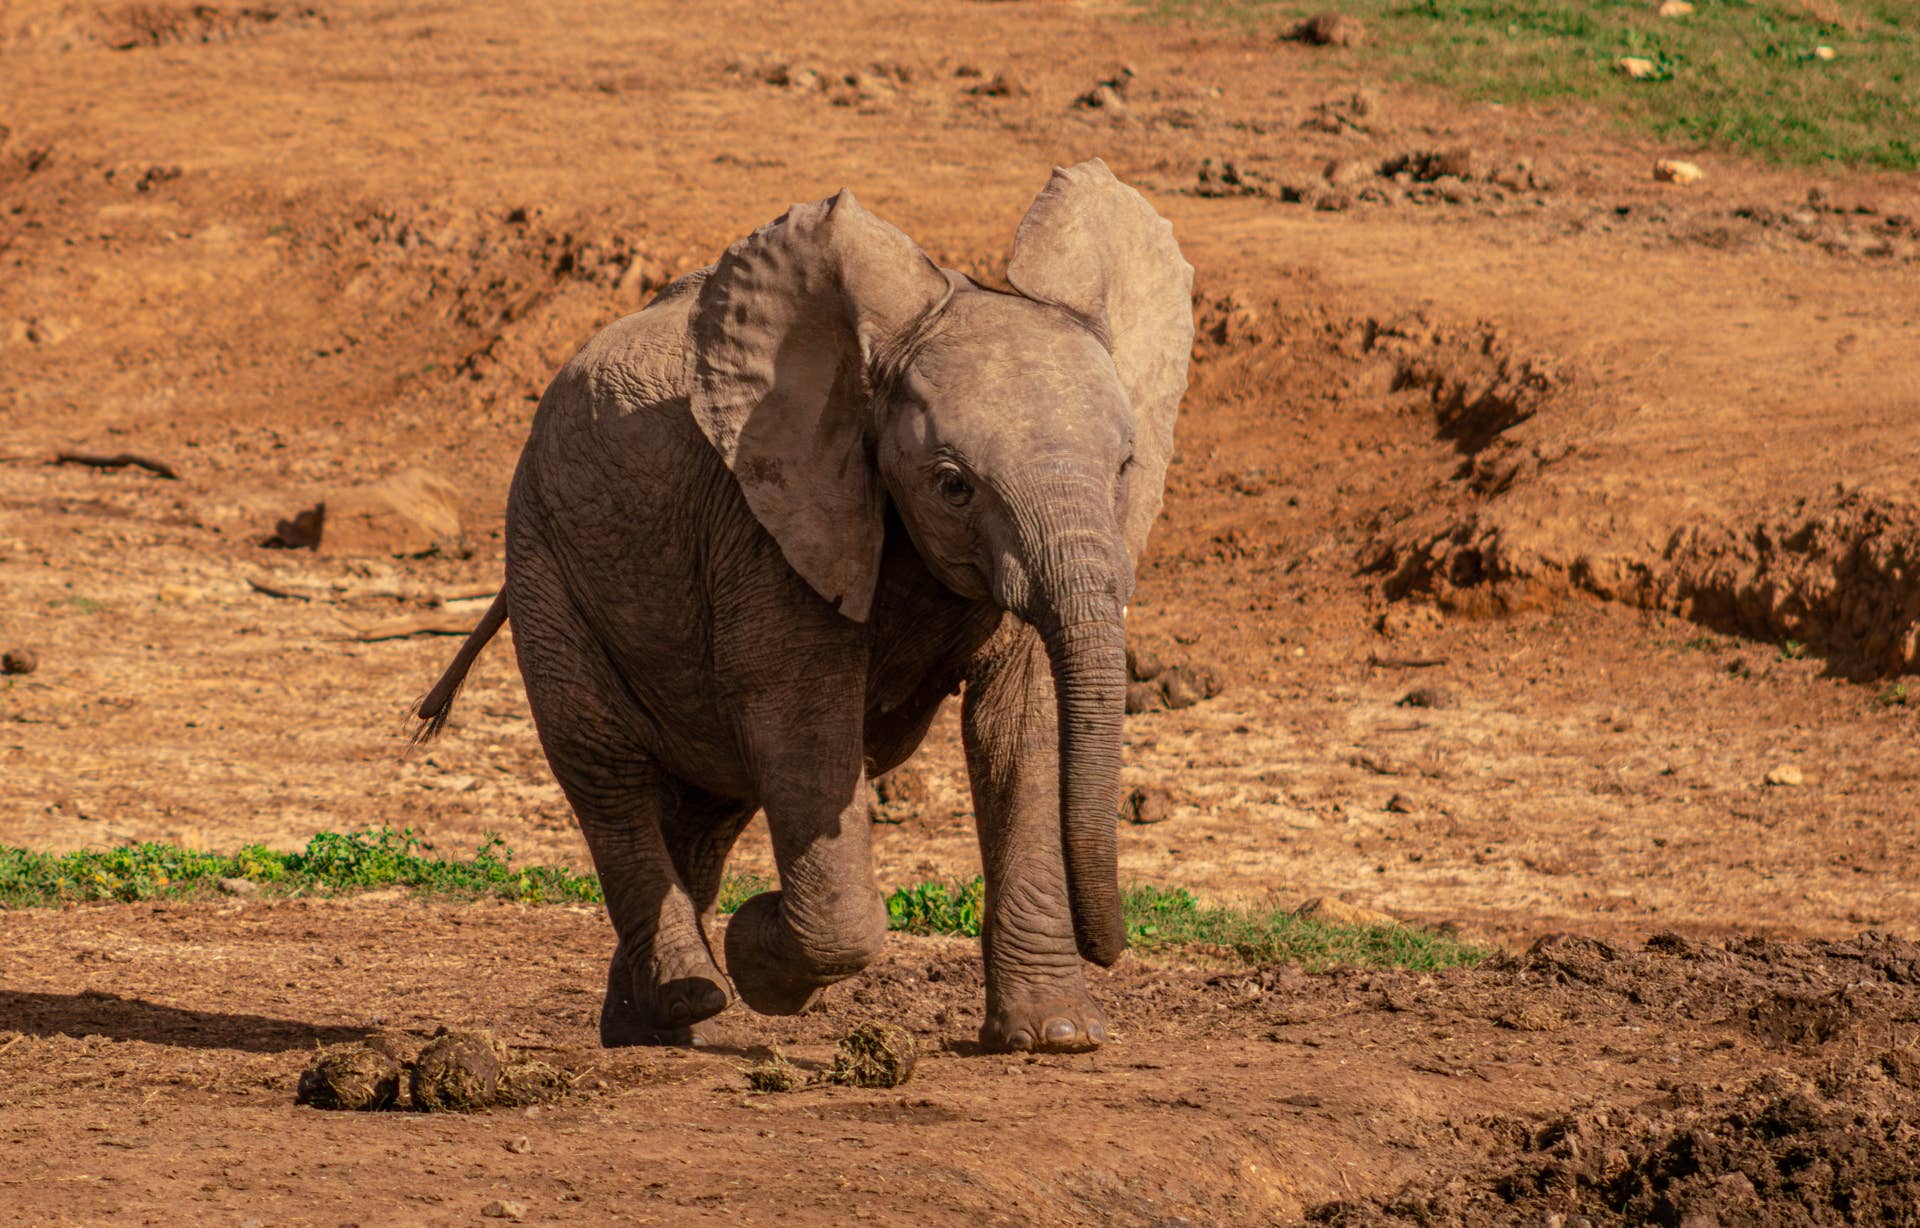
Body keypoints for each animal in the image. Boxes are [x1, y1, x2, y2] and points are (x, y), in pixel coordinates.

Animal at [414, 159, 1192, 1054]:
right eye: (952, 485)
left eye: (1127, 467)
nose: (1113, 947)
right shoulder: (767, 515)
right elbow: (801, 716)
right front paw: (760, 947)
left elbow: (1022, 723)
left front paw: (1056, 1036)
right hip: (542, 555)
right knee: (605, 768)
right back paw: (691, 996)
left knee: (704, 802)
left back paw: (647, 1024)